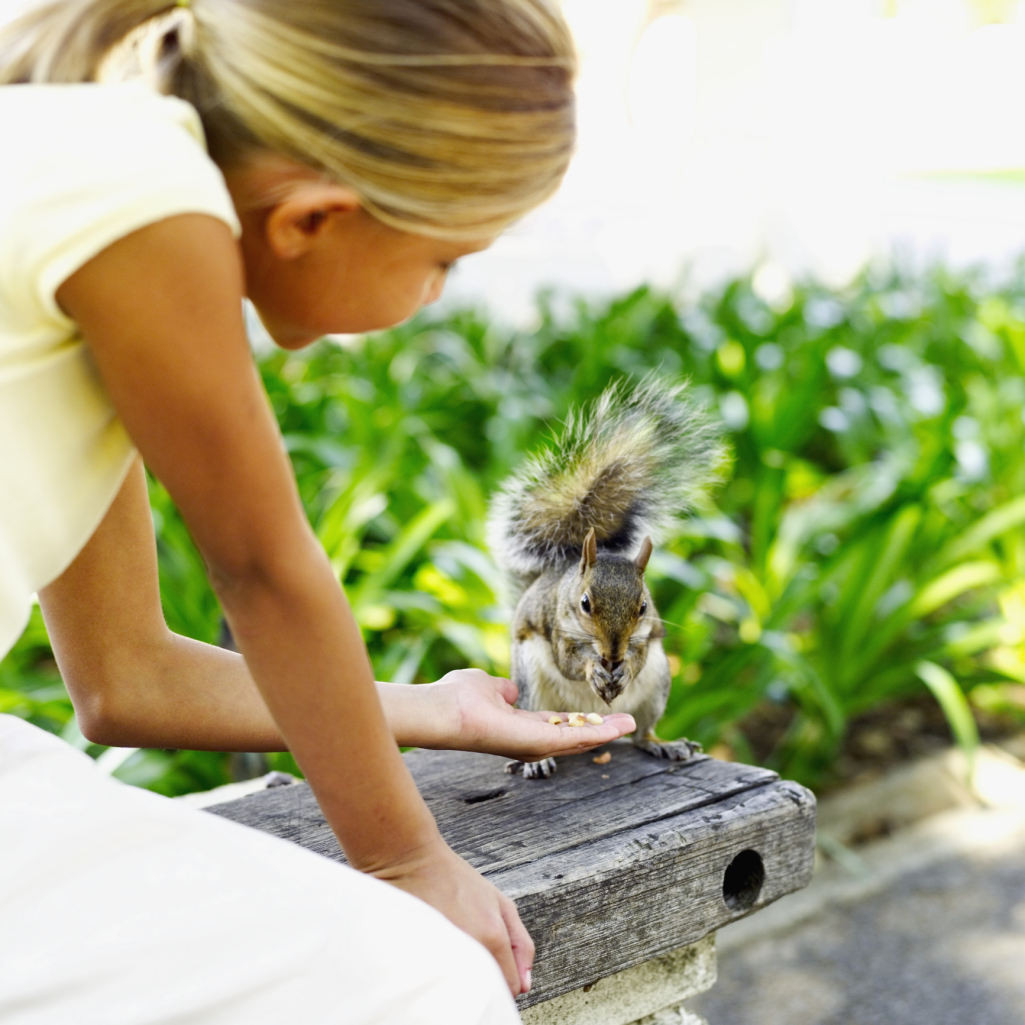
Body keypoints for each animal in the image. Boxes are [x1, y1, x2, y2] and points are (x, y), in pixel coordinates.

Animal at [487, 377, 725, 779]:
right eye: (585, 603)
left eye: (643, 606)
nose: (613, 654)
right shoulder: (557, 628)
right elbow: (570, 662)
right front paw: (591, 668)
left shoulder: (647, 636)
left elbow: (639, 656)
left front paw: (626, 667)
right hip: (530, 681)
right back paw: (538, 761)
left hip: (658, 683)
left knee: (642, 732)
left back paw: (664, 744)